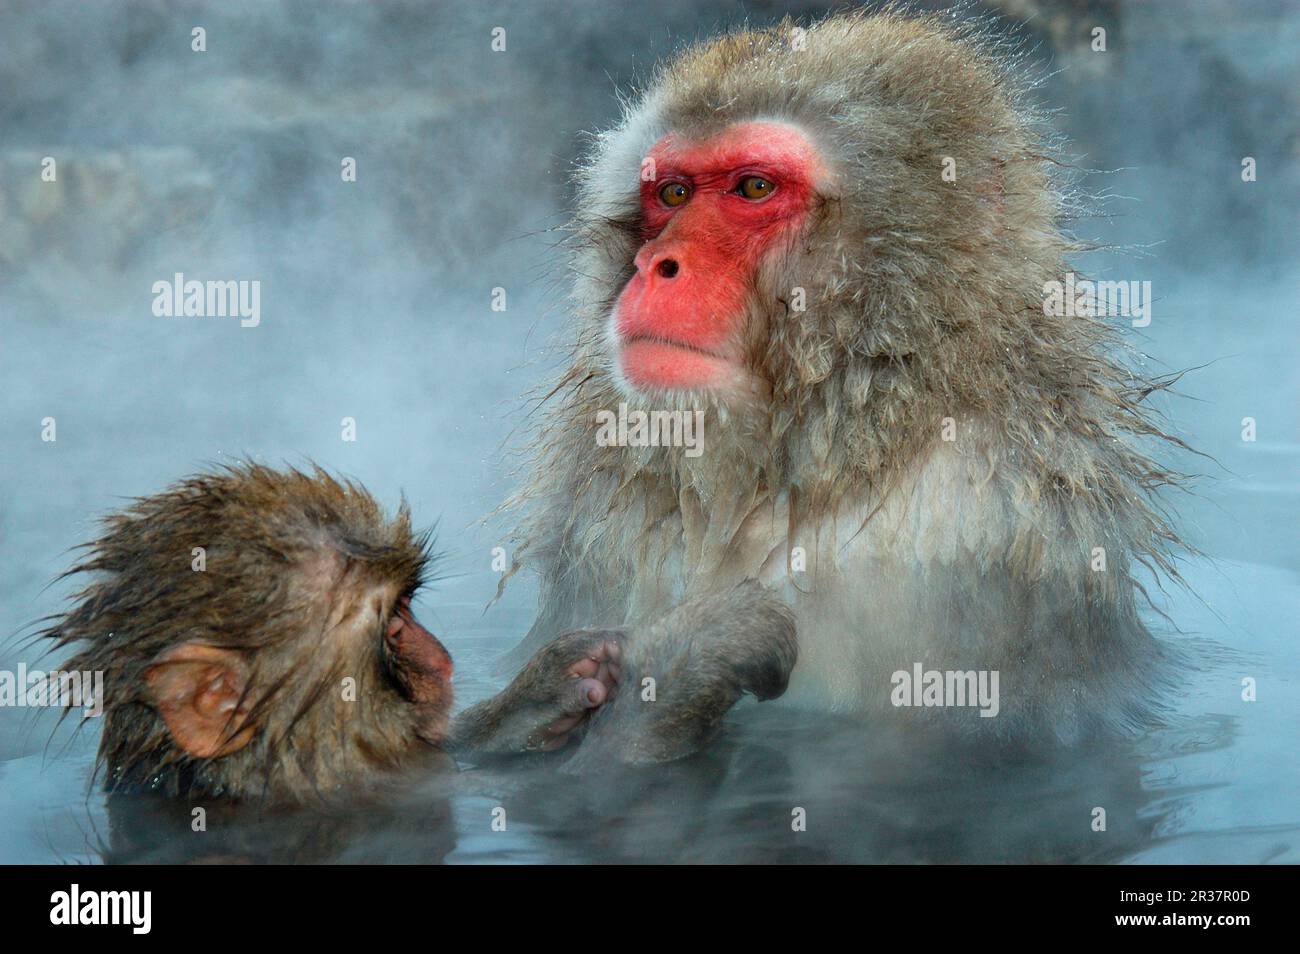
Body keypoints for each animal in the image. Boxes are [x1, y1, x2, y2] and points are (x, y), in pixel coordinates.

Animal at [41, 464, 796, 805]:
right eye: (395, 623)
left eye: (410, 607)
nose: (442, 658)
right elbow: (597, 782)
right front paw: (701, 650)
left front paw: (560, 679)